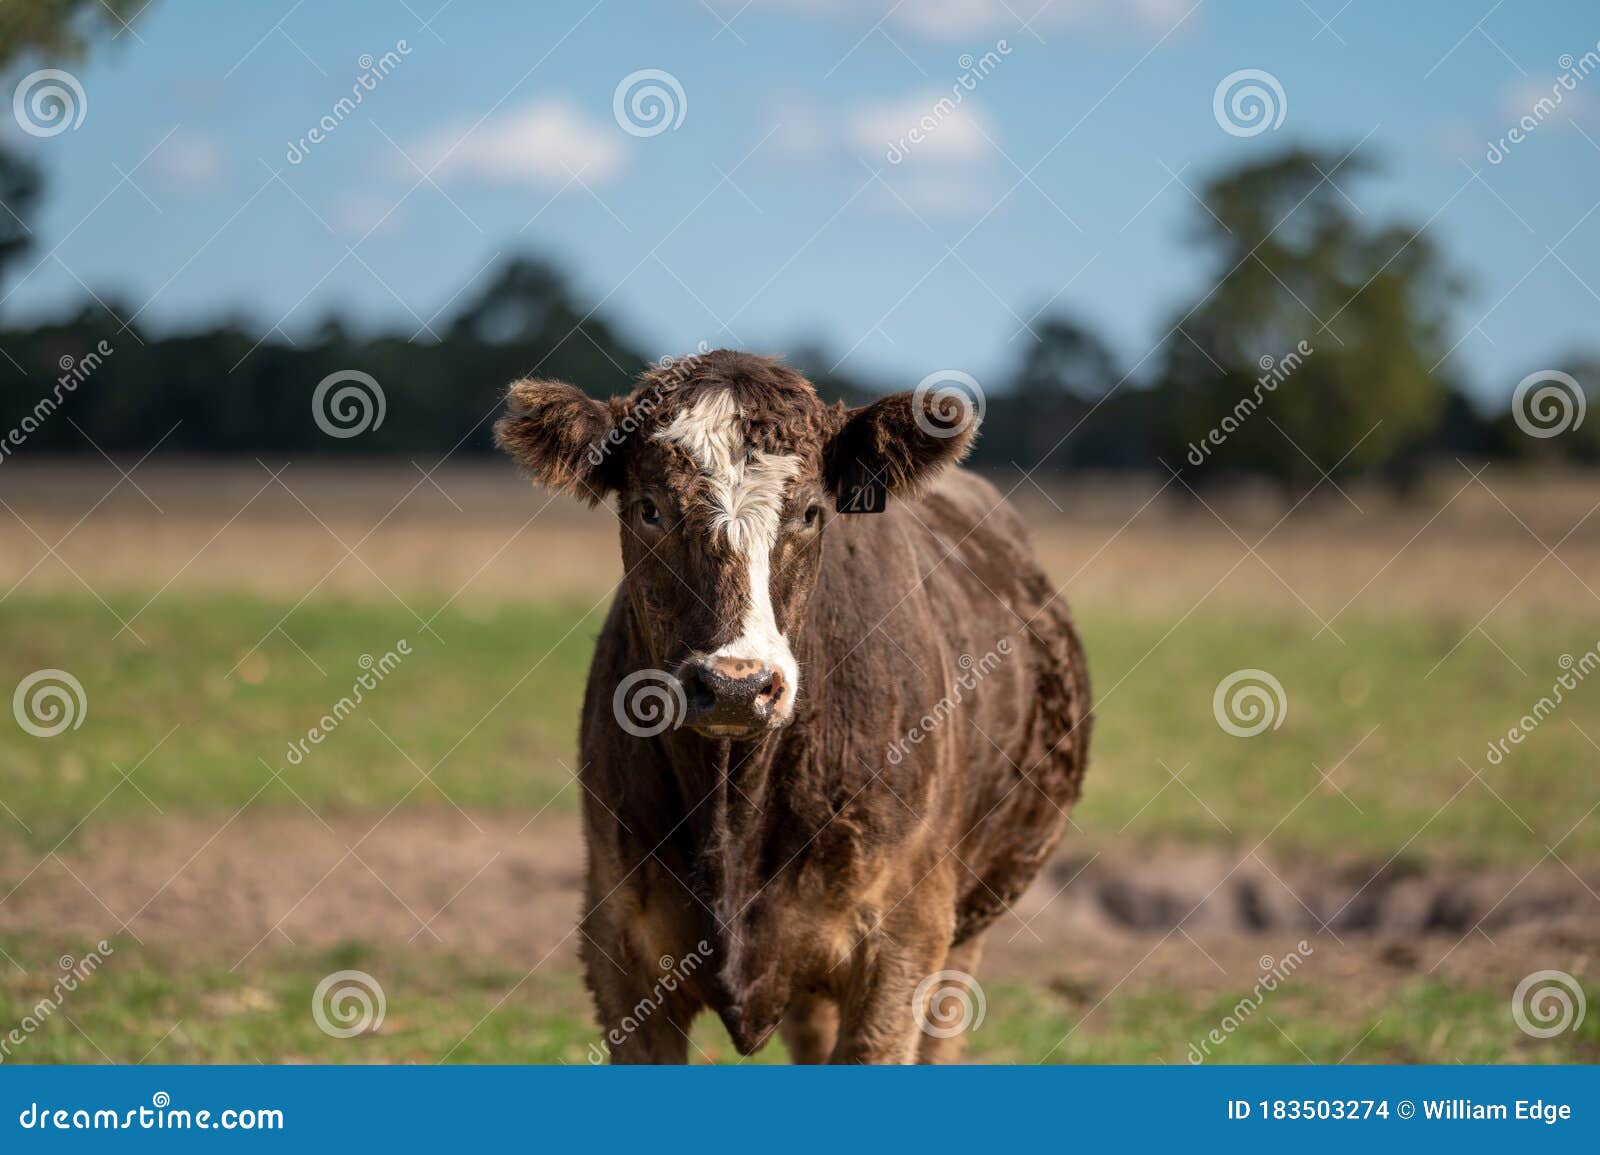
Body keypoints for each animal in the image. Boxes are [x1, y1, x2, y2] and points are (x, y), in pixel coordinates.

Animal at [495, 350, 1090, 1063]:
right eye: (650, 509)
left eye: (809, 512)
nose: (735, 684)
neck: (735, 809)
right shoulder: (619, 948)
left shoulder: (903, 945)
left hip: (963, 932)